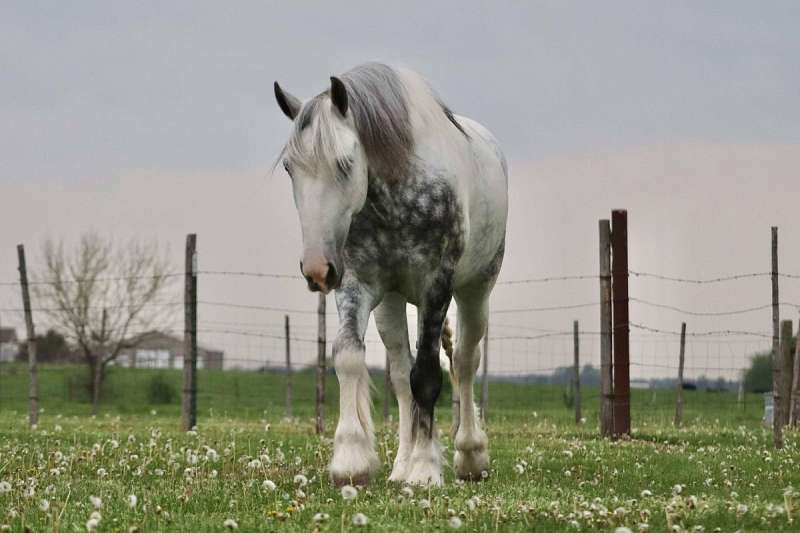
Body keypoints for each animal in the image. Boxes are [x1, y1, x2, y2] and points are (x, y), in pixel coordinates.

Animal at [273, 63, 508, 486]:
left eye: (345, 163)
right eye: (289, 168)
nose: (317, 268)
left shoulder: (436, 287)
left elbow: (428, 374)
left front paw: (426, 468)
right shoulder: (354, 285)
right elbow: (349, 357)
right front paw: (352, 459)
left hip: (477, 288)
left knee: (465, 361)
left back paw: (470, 455)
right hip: (392, 303)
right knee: (400, 376)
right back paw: (401, 465)